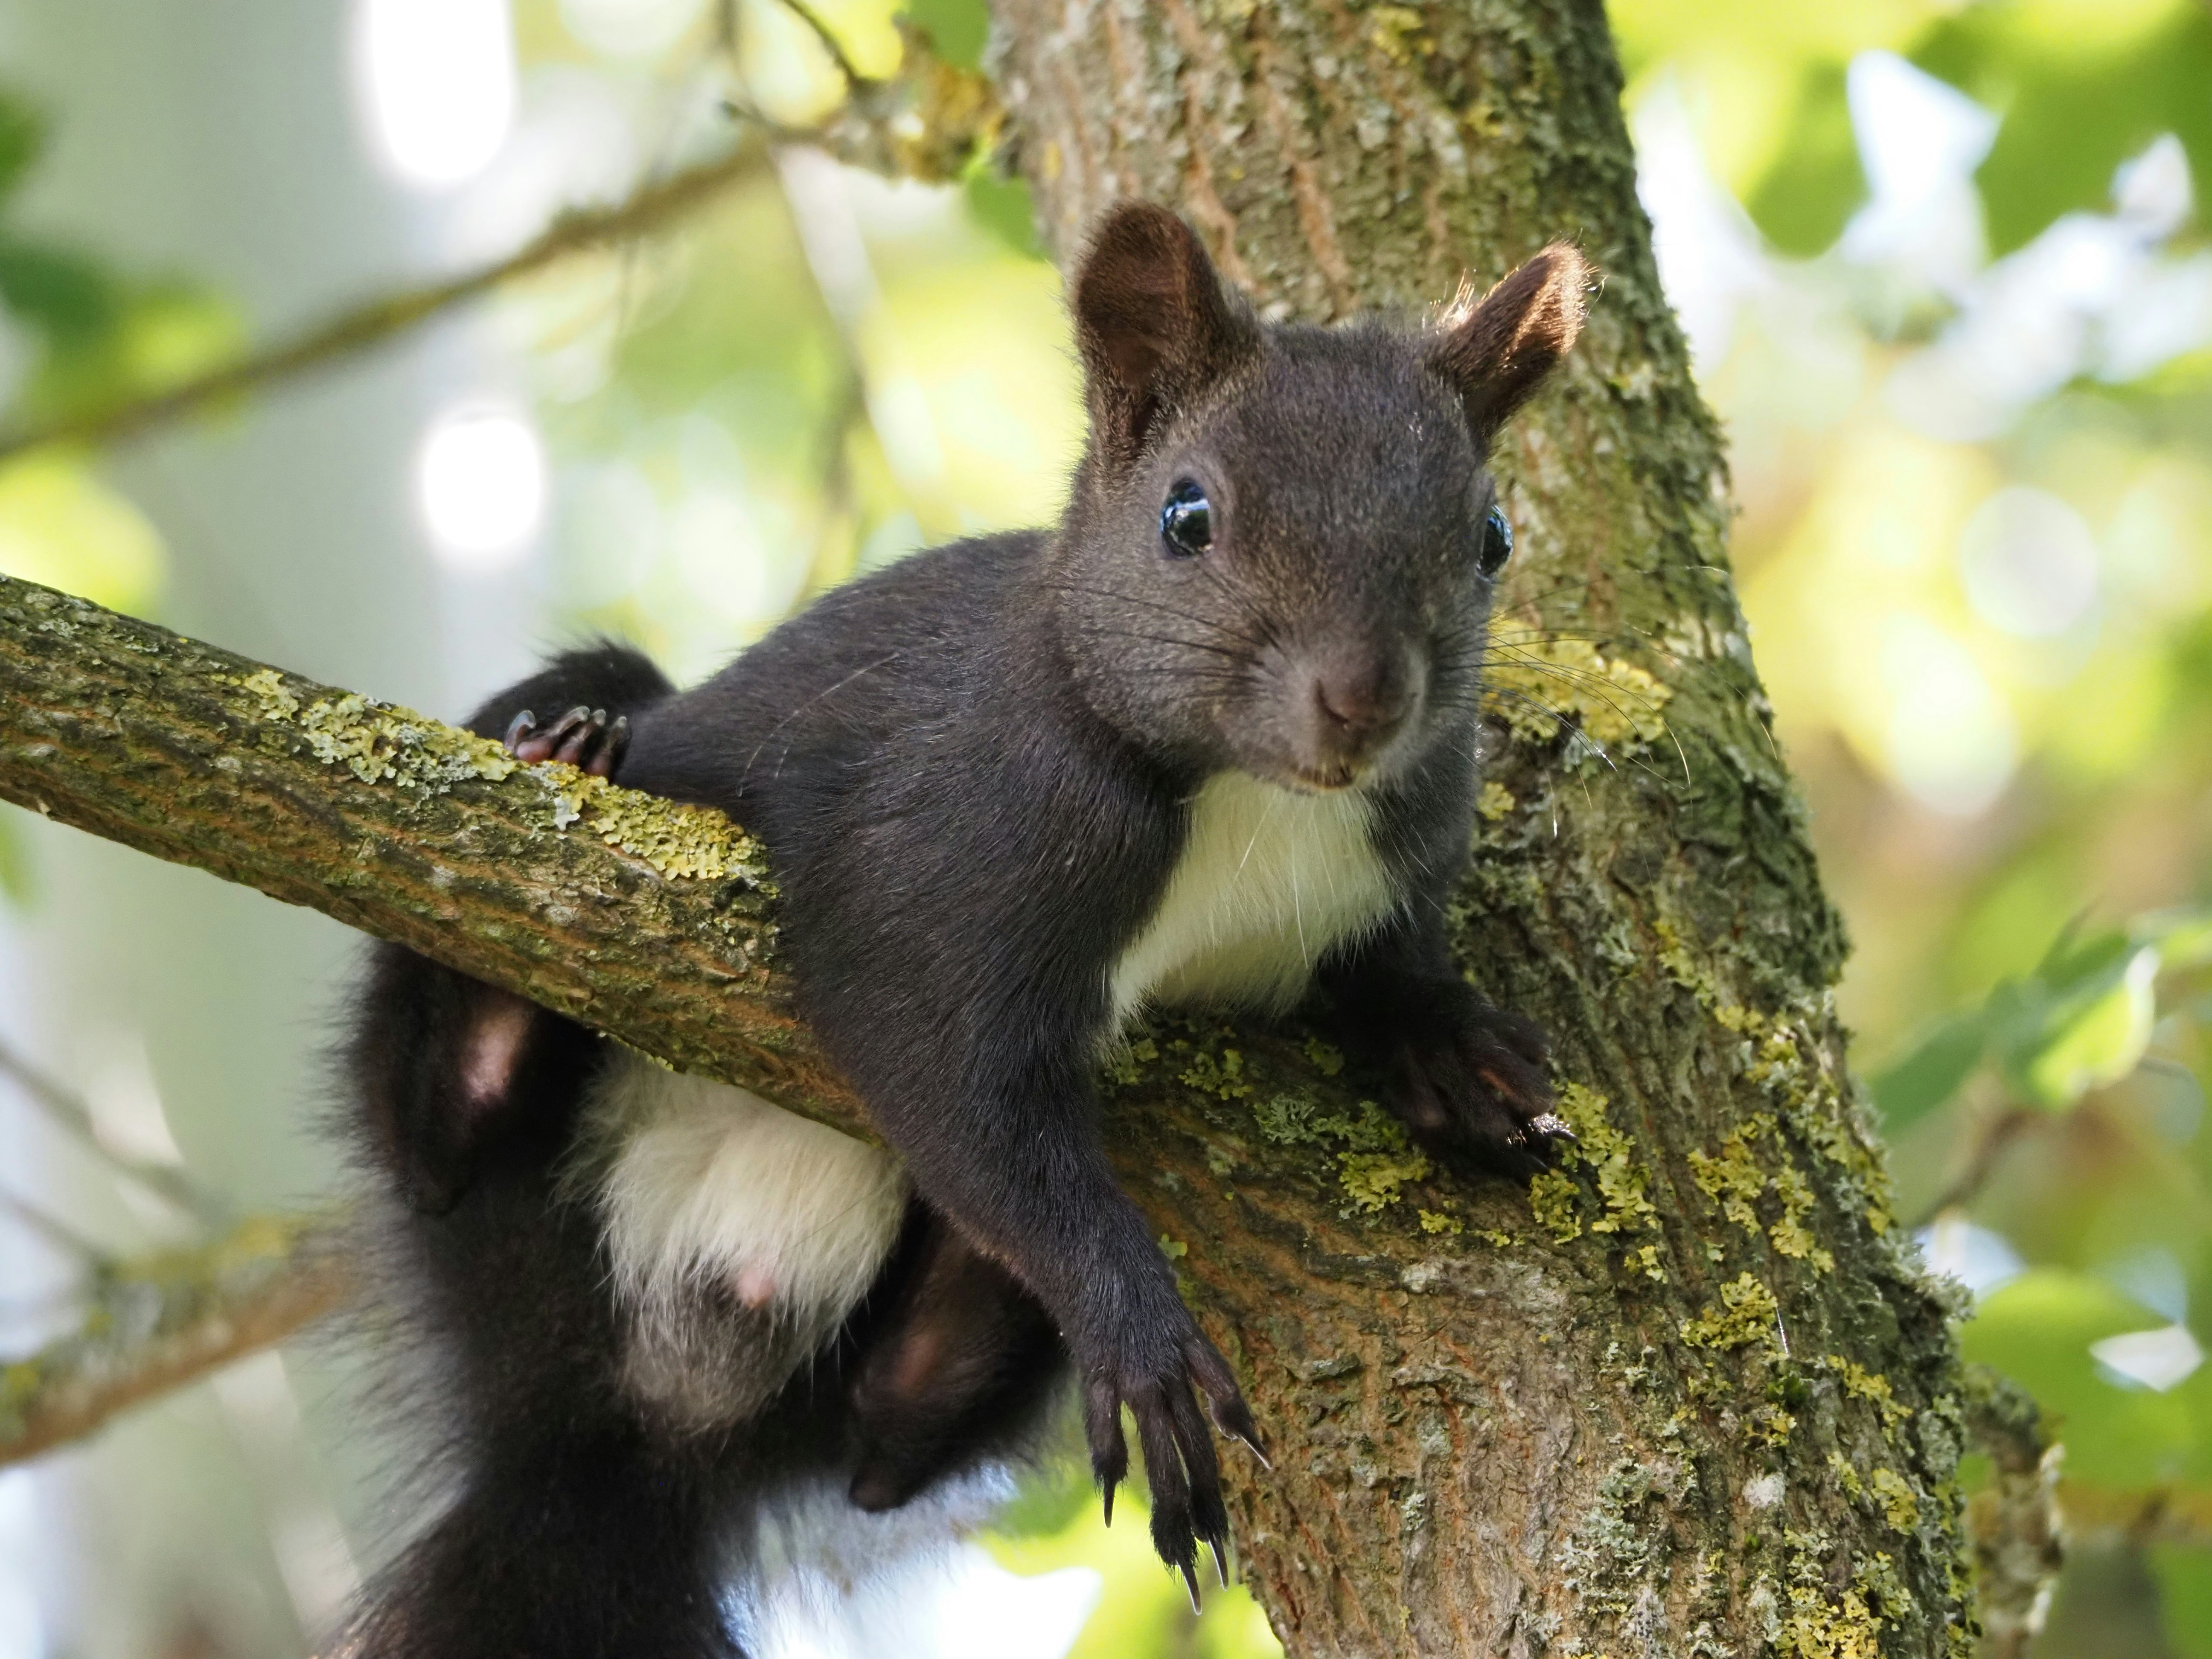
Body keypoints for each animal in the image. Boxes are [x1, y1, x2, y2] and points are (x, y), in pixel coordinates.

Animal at [339, 202, 1589, 1658]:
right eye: (1188, 516)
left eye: (1492, 537)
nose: (1364, 702)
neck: (1256, 800)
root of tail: (625, 1424)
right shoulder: (941, 865)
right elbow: (956, 1087)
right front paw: (1141, 1336)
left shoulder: (1402, 843)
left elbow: (1391, 969)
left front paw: (1454, 1047)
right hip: (489, 1140)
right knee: (439, 1148)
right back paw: (544, 839)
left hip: (867, 1395)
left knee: (885, 1445)